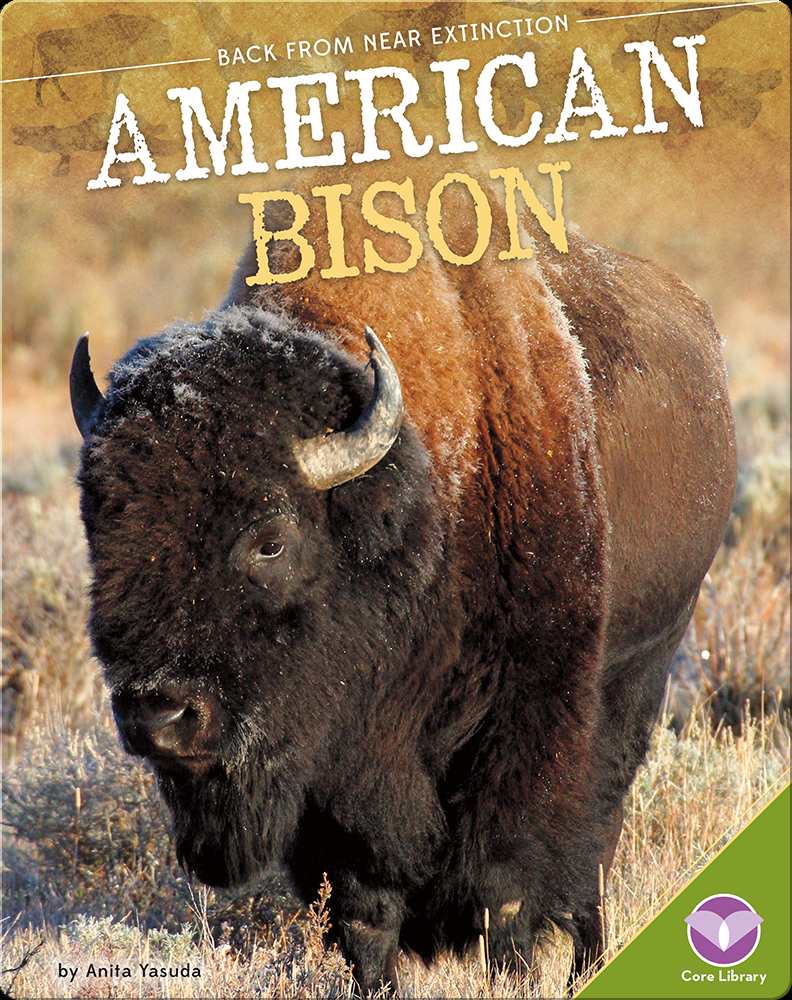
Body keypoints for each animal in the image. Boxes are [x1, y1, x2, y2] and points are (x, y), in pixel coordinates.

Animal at [70, 170, 737, 994]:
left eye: (271, 540)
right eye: (101, 527)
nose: (159, 715)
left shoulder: (522, 728)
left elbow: (504, 897)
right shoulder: (335, 783)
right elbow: (365, 917)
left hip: (644, 663)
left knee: (596, 843)